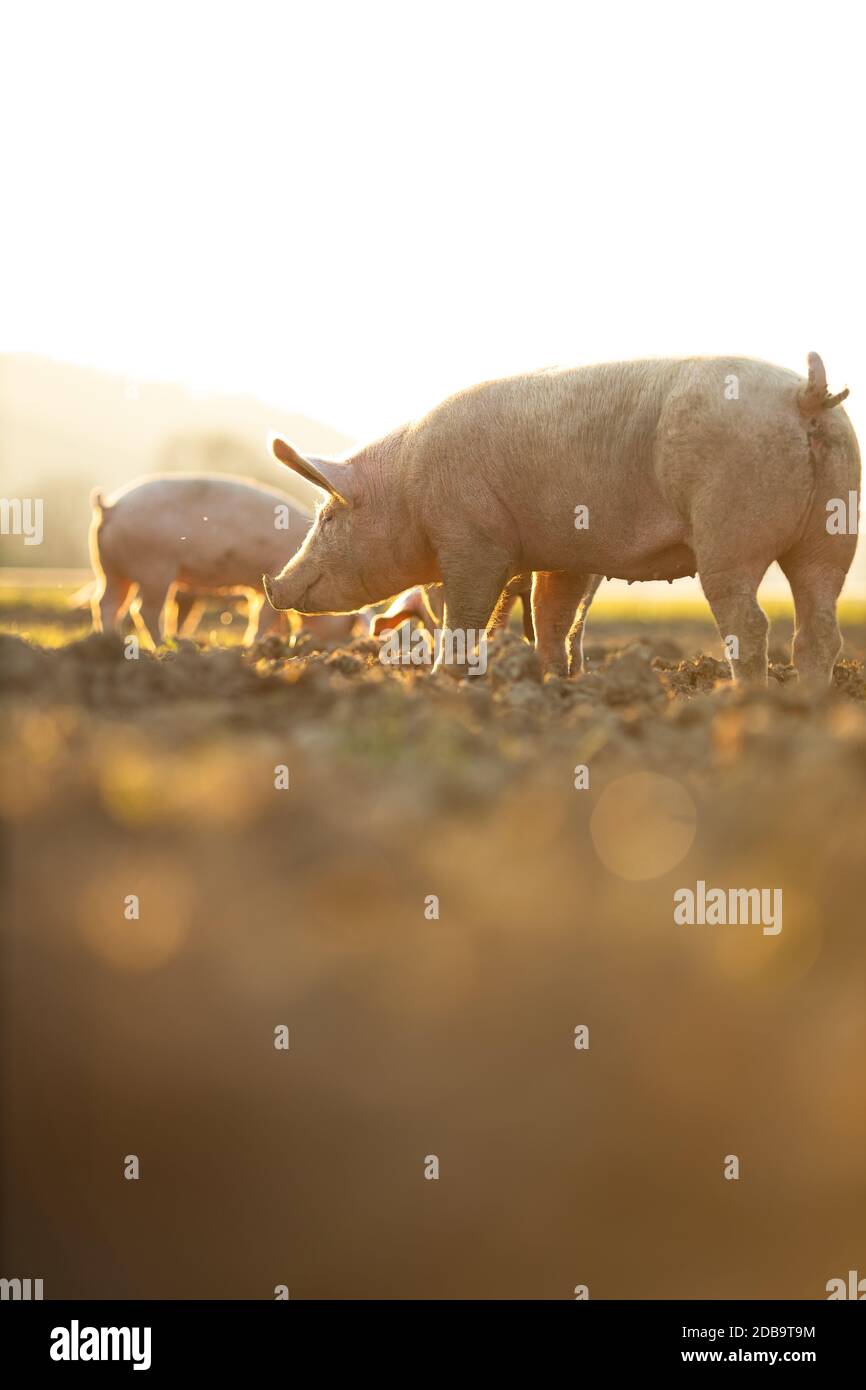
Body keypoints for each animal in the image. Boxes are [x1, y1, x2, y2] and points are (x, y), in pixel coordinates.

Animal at [89, 473, 318, 646]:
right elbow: (265, 615)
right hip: (155, 570)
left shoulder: (259, 586)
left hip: (109, 569)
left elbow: (269, 616)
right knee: (144, 610)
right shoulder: (275, 571)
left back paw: (108, 641)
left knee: (105, 603)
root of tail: (111, 506)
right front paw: (253, 644)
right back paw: (165, 646)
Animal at [263, 354, 858, 684]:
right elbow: (552, 618)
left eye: (329, 517)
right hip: (836, 530)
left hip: (729, 533)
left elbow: (468, 613)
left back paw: (746, 700)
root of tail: (806, 394)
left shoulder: (473, 541)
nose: (274, 585)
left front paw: (442, 681)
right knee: (820, 629)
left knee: (751, 625)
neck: (405, 486)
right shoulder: (564, 556)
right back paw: (811, 702)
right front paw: (555, 683)